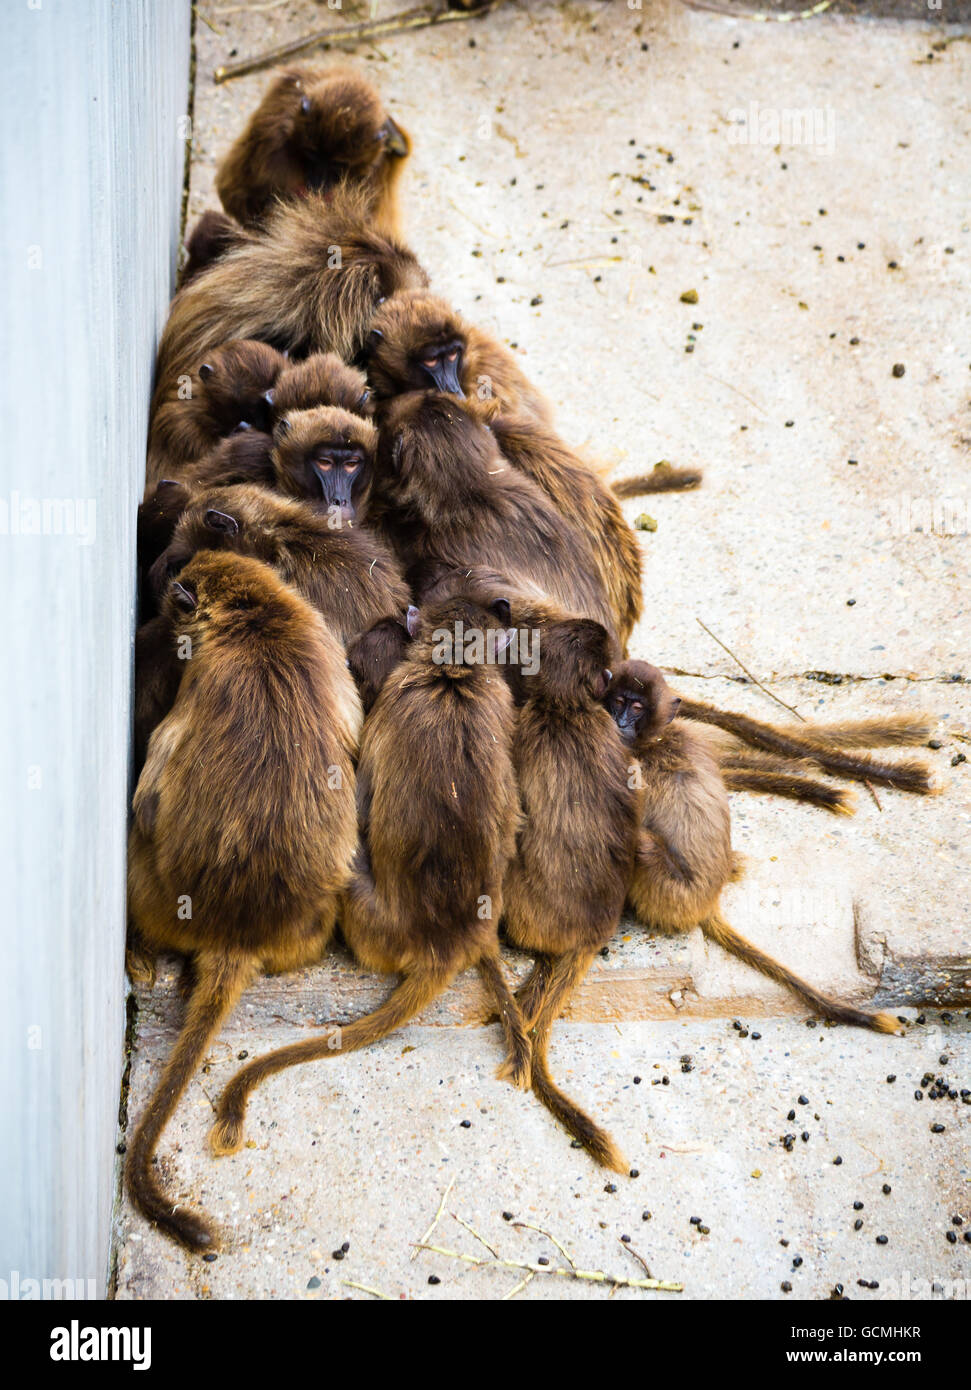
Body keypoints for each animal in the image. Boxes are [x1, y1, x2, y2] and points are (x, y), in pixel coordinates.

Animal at [603, 661, 902, 1034]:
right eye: (618, 701)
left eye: (636, 708)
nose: (620, 722)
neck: (658, 738)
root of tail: (706, 903)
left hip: (662, 889)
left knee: (640, 845)